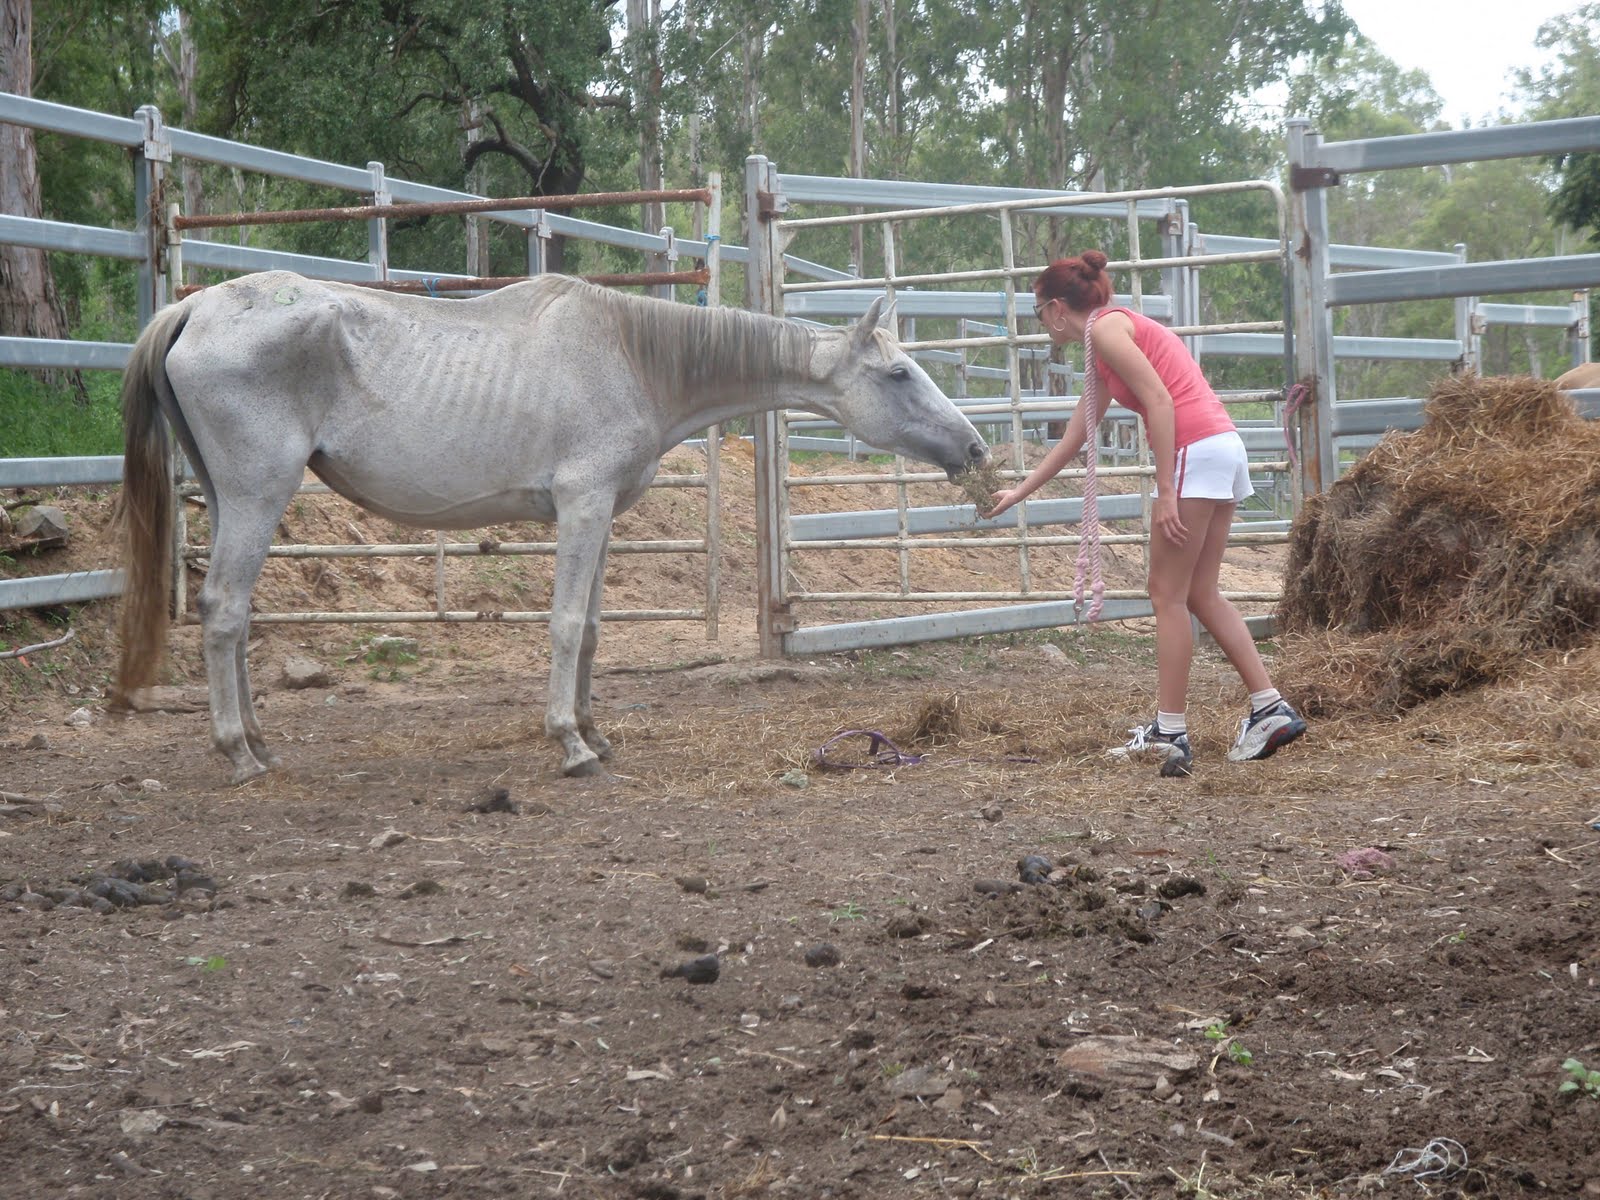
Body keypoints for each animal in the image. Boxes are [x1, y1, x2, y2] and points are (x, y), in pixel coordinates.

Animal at [115, 270, 987, 784]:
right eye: (899, 373)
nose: (975, 447)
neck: (634, 358)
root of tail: (194, 306)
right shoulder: (583, 505)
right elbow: (567, 624)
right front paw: (568, 742)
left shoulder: (601, 515)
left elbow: (594, 629)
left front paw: (595, 732)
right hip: (257, 495)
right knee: (224, 611)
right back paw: (238, 753)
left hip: (234, 499)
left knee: (234, 619)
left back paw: (258, 740)